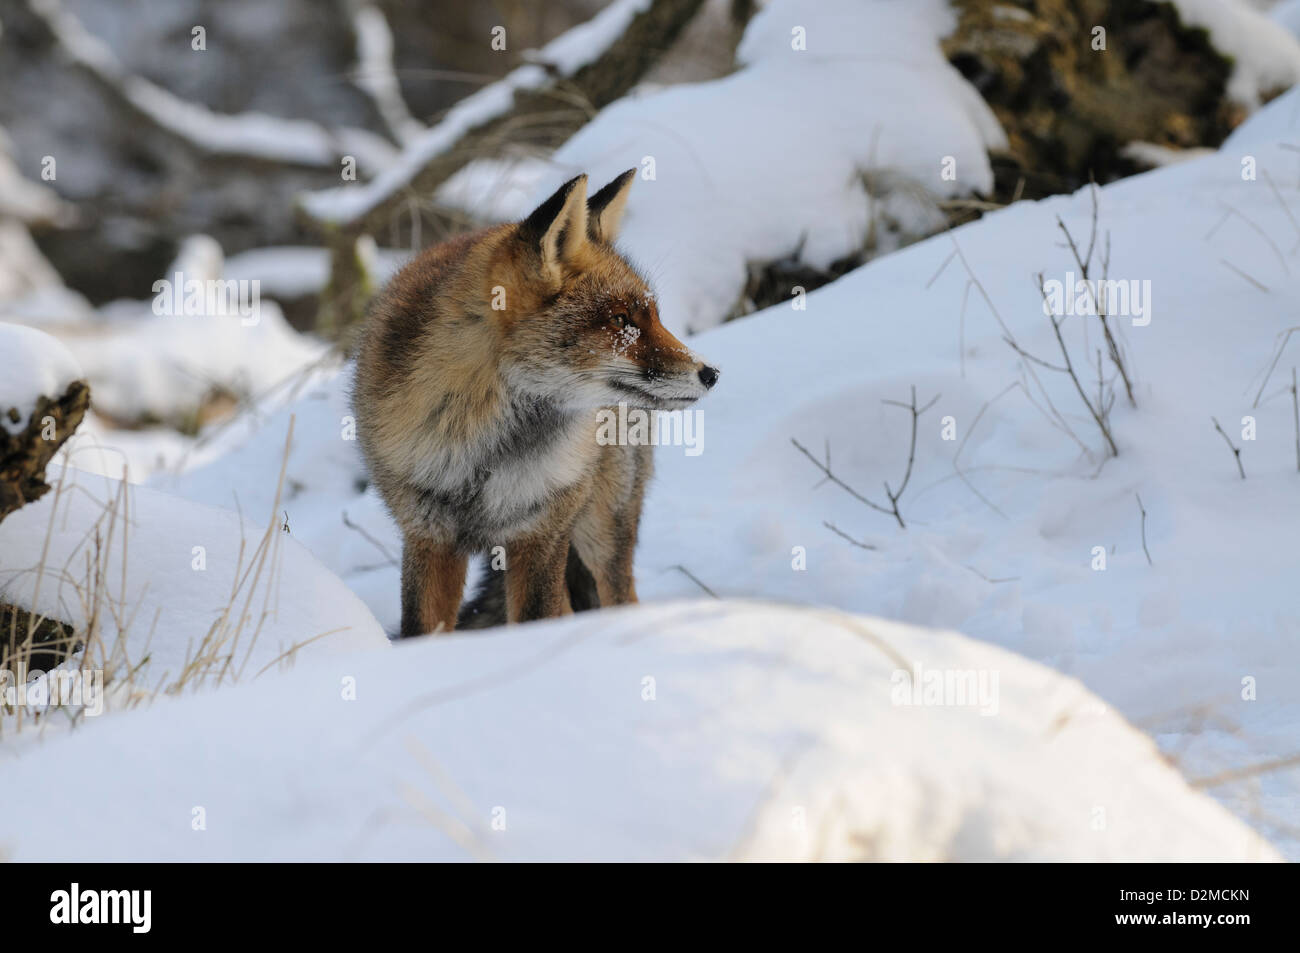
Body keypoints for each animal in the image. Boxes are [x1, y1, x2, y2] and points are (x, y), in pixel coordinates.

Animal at [352, 170, 720, 636]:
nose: (711, 373)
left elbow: (535, 619)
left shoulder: (541, 535)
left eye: (655, 317)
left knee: (617, 595)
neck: (484, 452)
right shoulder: (427, 538)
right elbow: (423, 629)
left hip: (601, 531)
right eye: (620, 320)